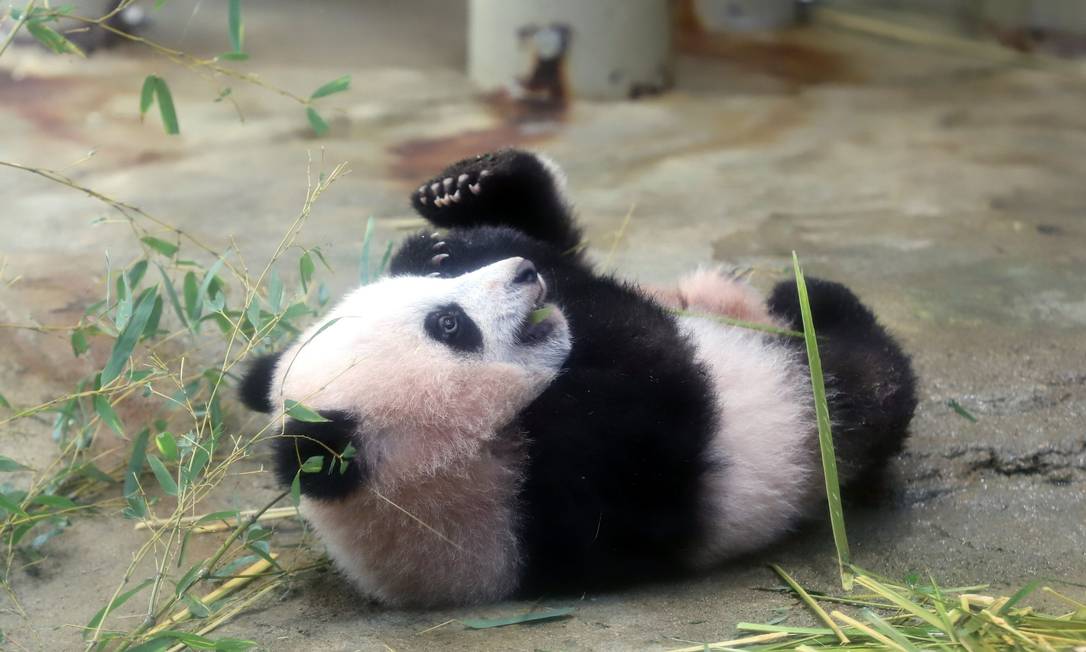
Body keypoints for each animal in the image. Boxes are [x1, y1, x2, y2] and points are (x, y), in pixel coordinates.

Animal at [240, 149, 916, 607]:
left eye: (432, 294)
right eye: (449, 324)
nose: (520, 274)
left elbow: (565, 256)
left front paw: (454, 223)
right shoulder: (563, 495)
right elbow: (654, 372)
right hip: (816, 408)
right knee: (868, 381)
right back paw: (821, 301)